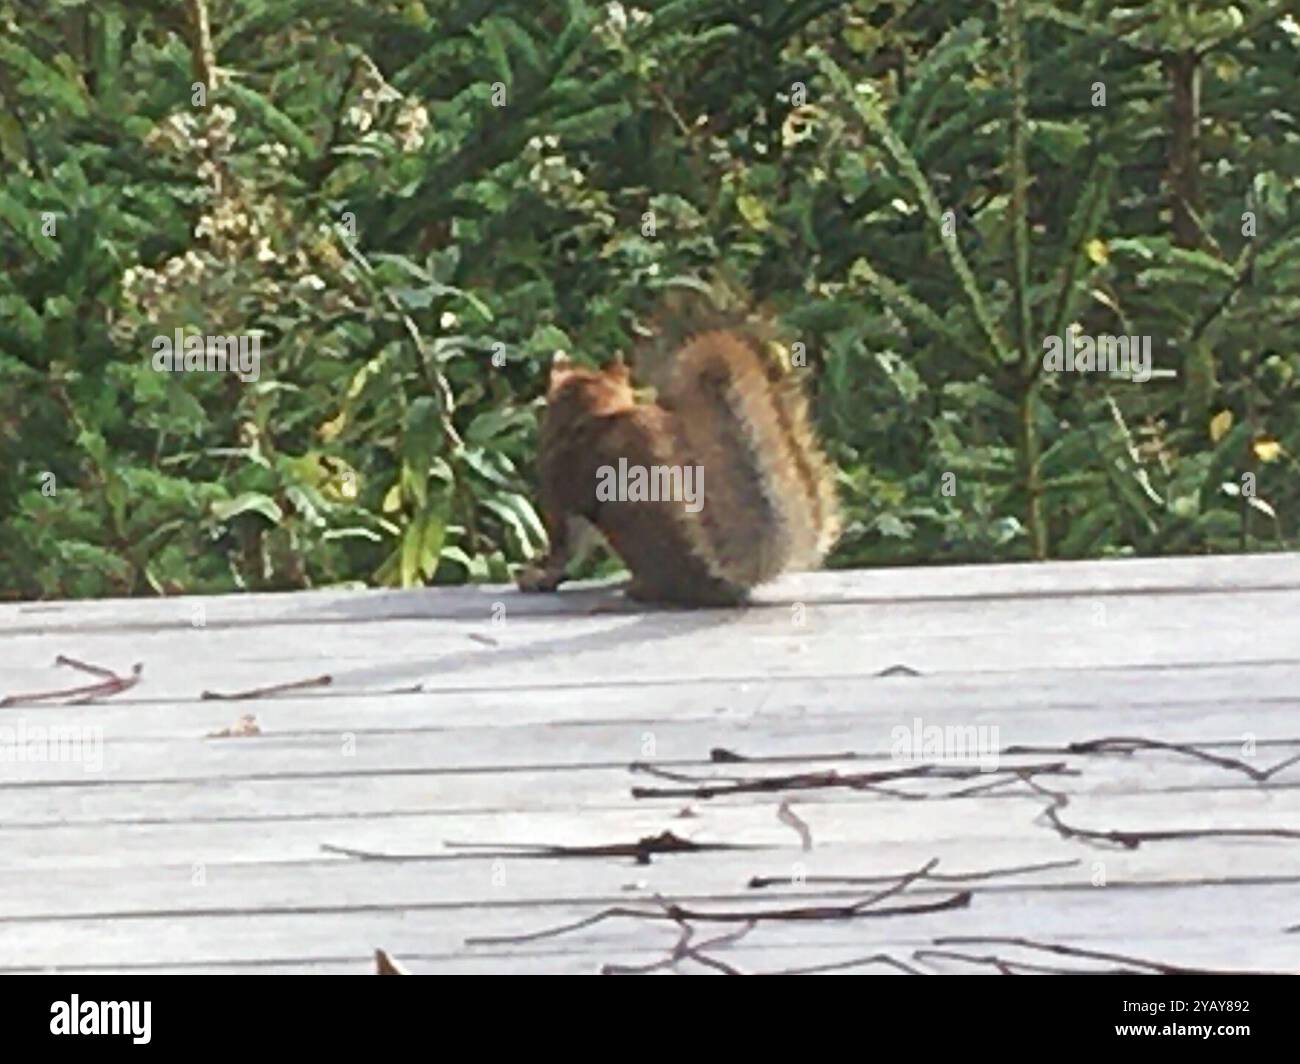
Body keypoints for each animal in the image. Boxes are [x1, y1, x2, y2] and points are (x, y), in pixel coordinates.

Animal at [515, 325, 840, 606]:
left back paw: (638, 588)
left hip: (625, 519)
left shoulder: (560, 494)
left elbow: (564, 546)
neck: (598, 412)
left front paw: (540, 575)